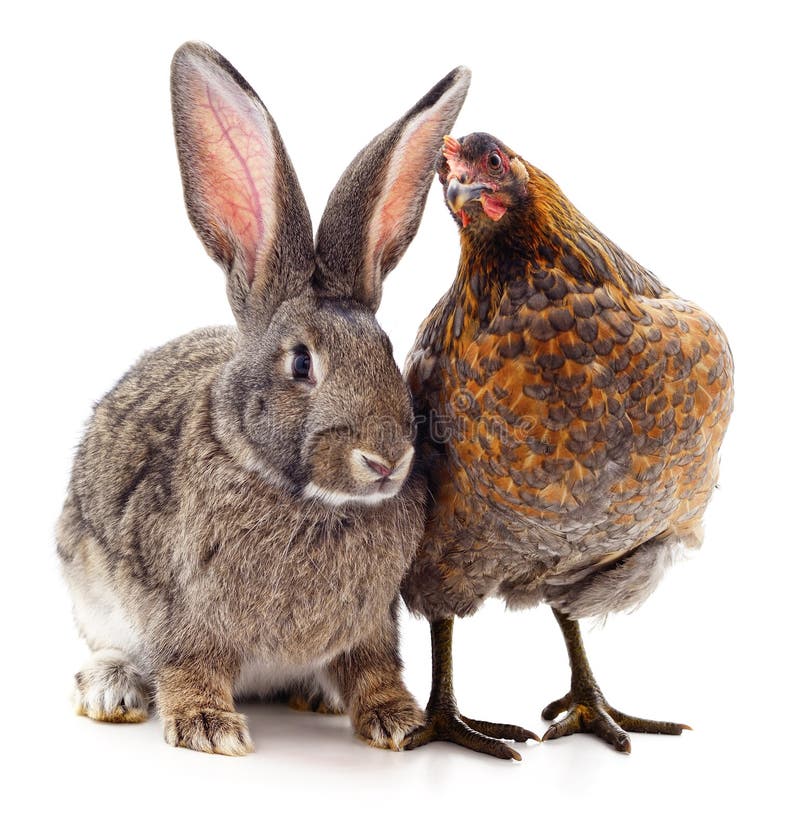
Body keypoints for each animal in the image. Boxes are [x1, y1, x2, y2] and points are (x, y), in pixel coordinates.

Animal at [56, 42, 470, 756]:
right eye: (302, 363)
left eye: (389, 350)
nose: (386, 460)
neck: (307, 498)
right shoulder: (183, 609)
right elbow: (187, 663)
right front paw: (208, 727)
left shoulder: (372, 622)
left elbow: (375, 668)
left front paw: (399, 721)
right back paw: (113, 688)